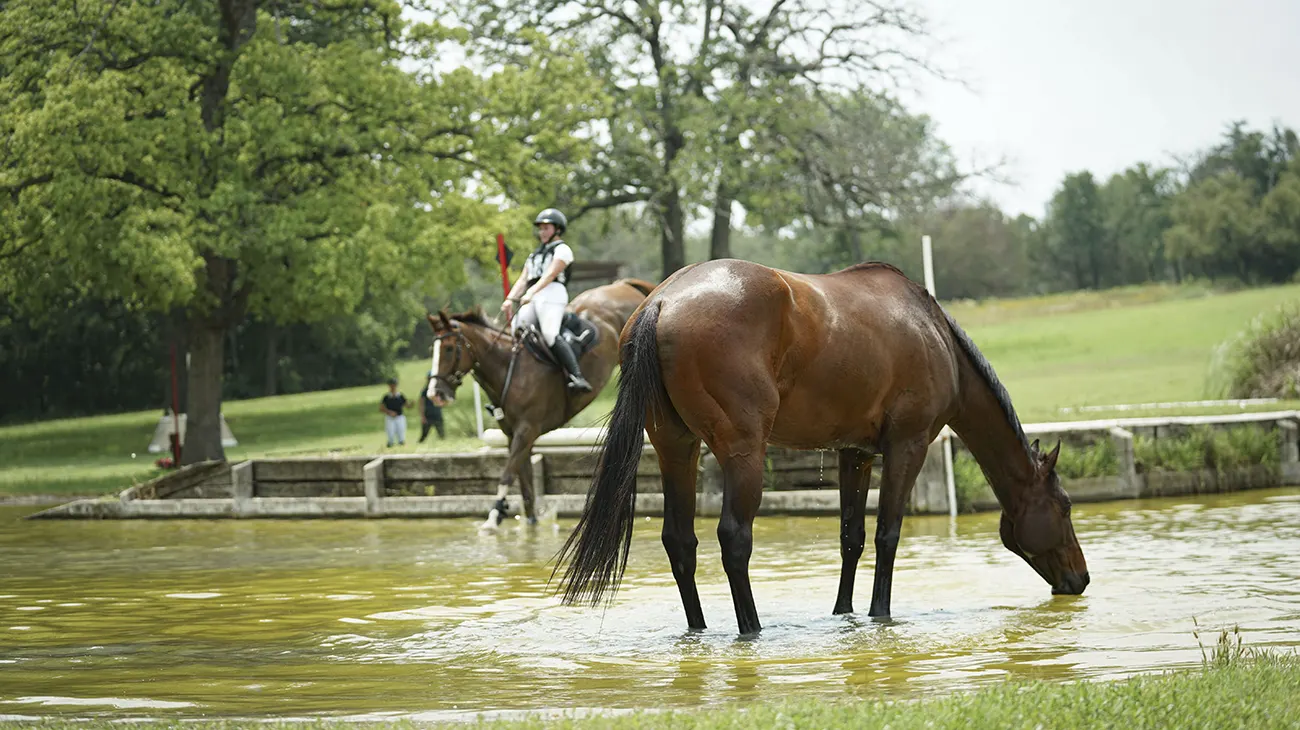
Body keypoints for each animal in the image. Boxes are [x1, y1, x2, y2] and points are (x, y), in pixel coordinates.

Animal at [426, 278, 656, 526]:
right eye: (432, 349)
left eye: (449, 349)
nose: (434, 394)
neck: (509, 370)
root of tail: (622, 284)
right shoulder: (513, 436)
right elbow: (526, 487)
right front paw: (528, 524)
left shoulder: (526, 431)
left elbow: (507, 475)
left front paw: (493, 518)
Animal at [554, 259, 1089, 636]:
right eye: (1064, 507)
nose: (1080, 579)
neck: (932, 333)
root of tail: (661, 302)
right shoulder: (908, 446)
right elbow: (888, 535)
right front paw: (880, 614)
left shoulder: (855, 453)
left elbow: (852, 537)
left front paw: (844, 613)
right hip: (743, 454)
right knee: (734, 539)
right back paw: (751, 629)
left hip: (675, 448)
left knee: (680, 541)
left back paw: (699, 629)